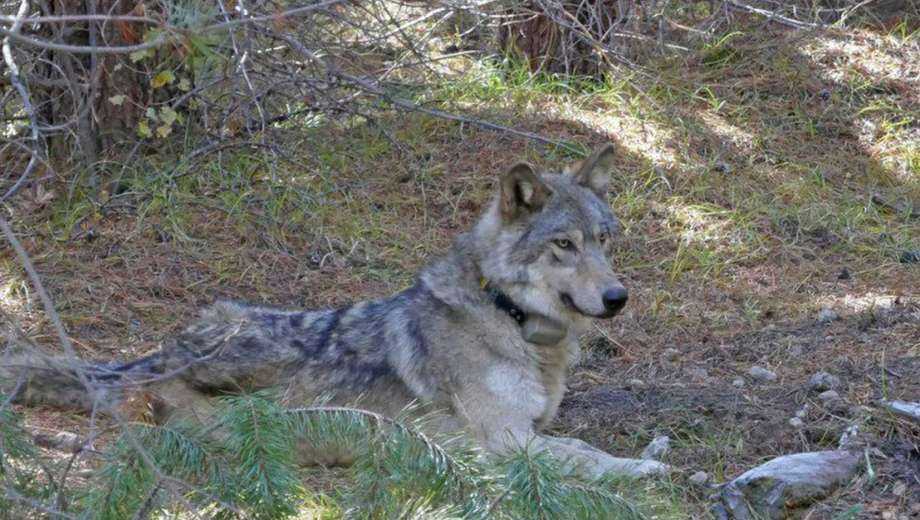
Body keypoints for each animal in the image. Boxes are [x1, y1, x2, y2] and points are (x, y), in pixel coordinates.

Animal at [1, 144, 667, 479]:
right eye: (564, 245)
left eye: (604, 239)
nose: (618, 298)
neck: (510, 319)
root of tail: (152, 357)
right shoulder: (504, 441)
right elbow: (585, 457)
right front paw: (640, 468)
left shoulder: (529, 428)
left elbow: (577, 442)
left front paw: (652, 450)